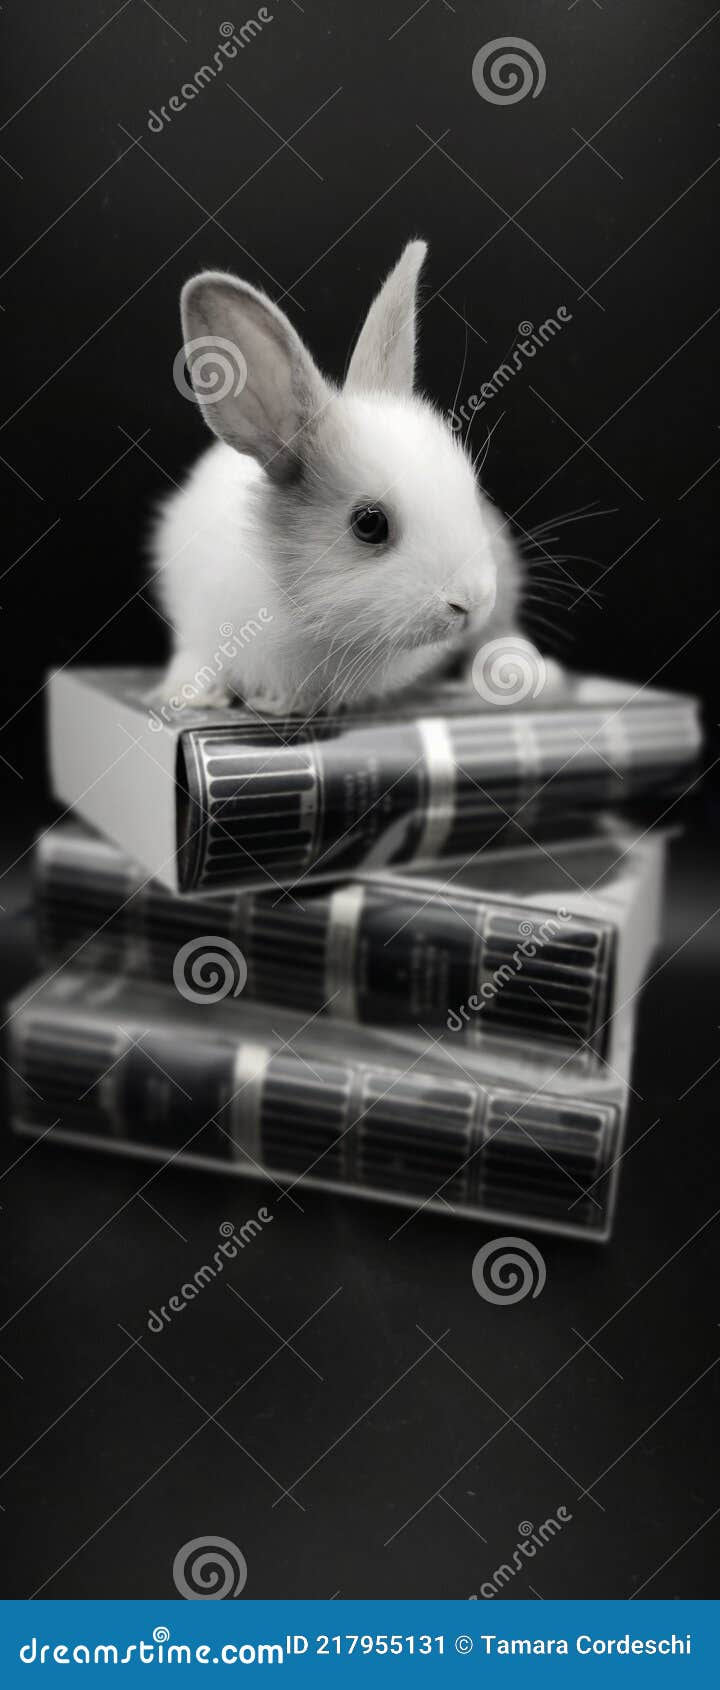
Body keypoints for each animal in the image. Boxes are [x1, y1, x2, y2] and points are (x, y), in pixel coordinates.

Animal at [152, 239, 545, 717]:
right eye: (369, 523)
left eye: (469, 491)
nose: (471, 602)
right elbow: (197, 659)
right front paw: (190, 695)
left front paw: (284, 702)